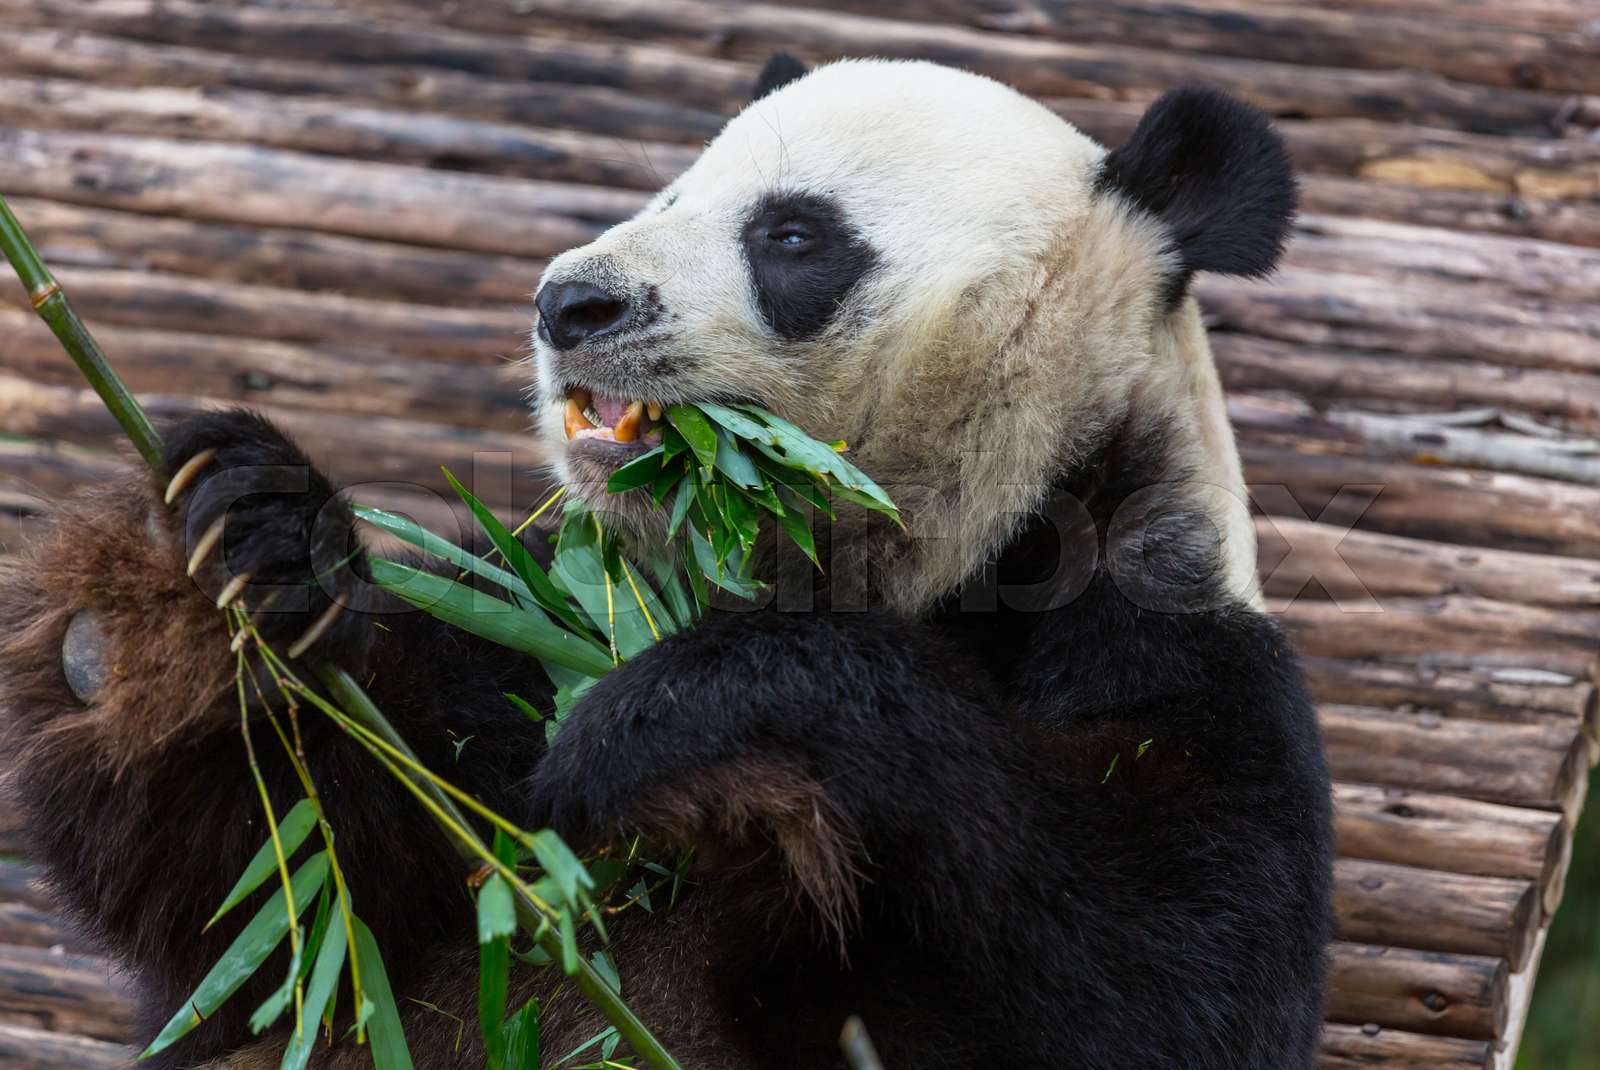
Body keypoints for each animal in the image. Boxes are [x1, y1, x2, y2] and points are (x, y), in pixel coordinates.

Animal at [0, 56, 1331, 1070]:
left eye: (791, 234)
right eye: (671, 191)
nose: (569, 304)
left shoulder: (1168, 644)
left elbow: (1163, 976)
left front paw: (699, 715)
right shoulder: (530, 628)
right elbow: (271, 906)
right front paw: (240, 549)